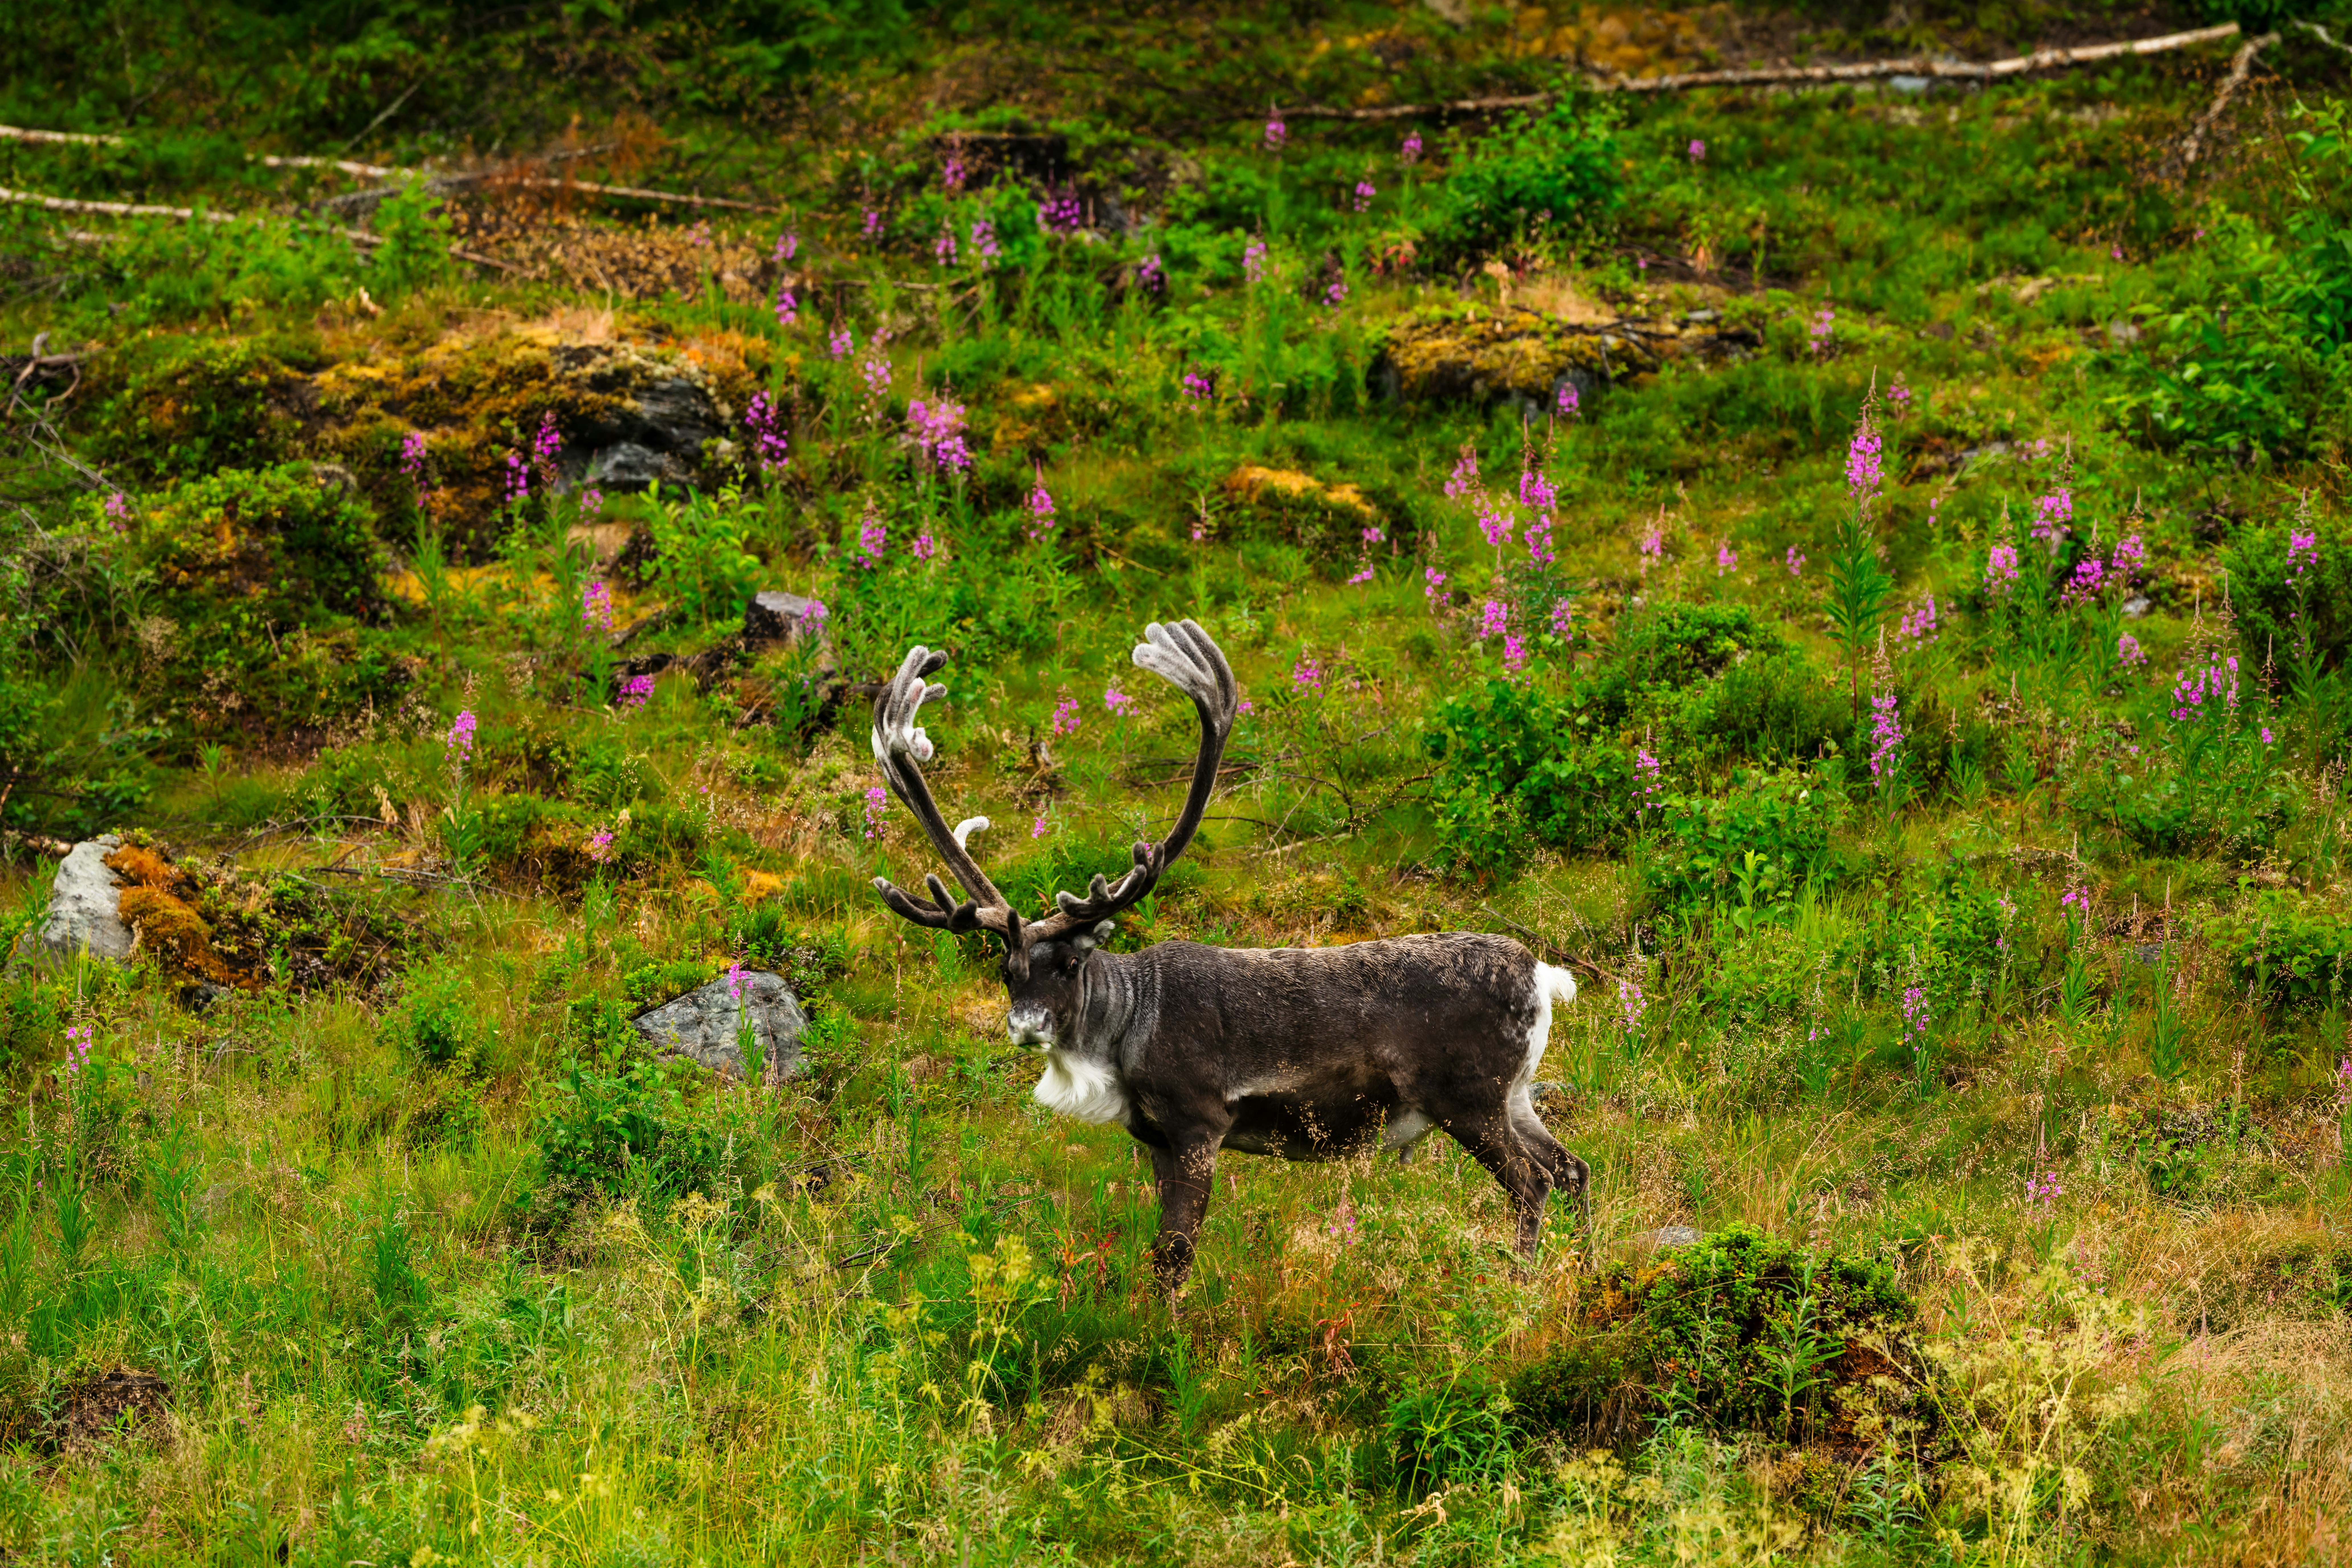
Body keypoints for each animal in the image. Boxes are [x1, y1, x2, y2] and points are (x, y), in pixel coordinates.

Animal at [869, 619, 1590, 1295]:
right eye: (1005, 970)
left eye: (1070, 965)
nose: (1026, 1025)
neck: (1126, 1029)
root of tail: (1541, 974)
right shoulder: (1154, 1138)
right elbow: (1160, 1252)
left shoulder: (1199, 1122)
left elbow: (1175, 1255)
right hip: (1513, 1095)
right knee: (1571, 1168)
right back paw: (1582, 1269)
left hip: (1467, 1099)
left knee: (1531, 1181)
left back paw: (1519, 1289)